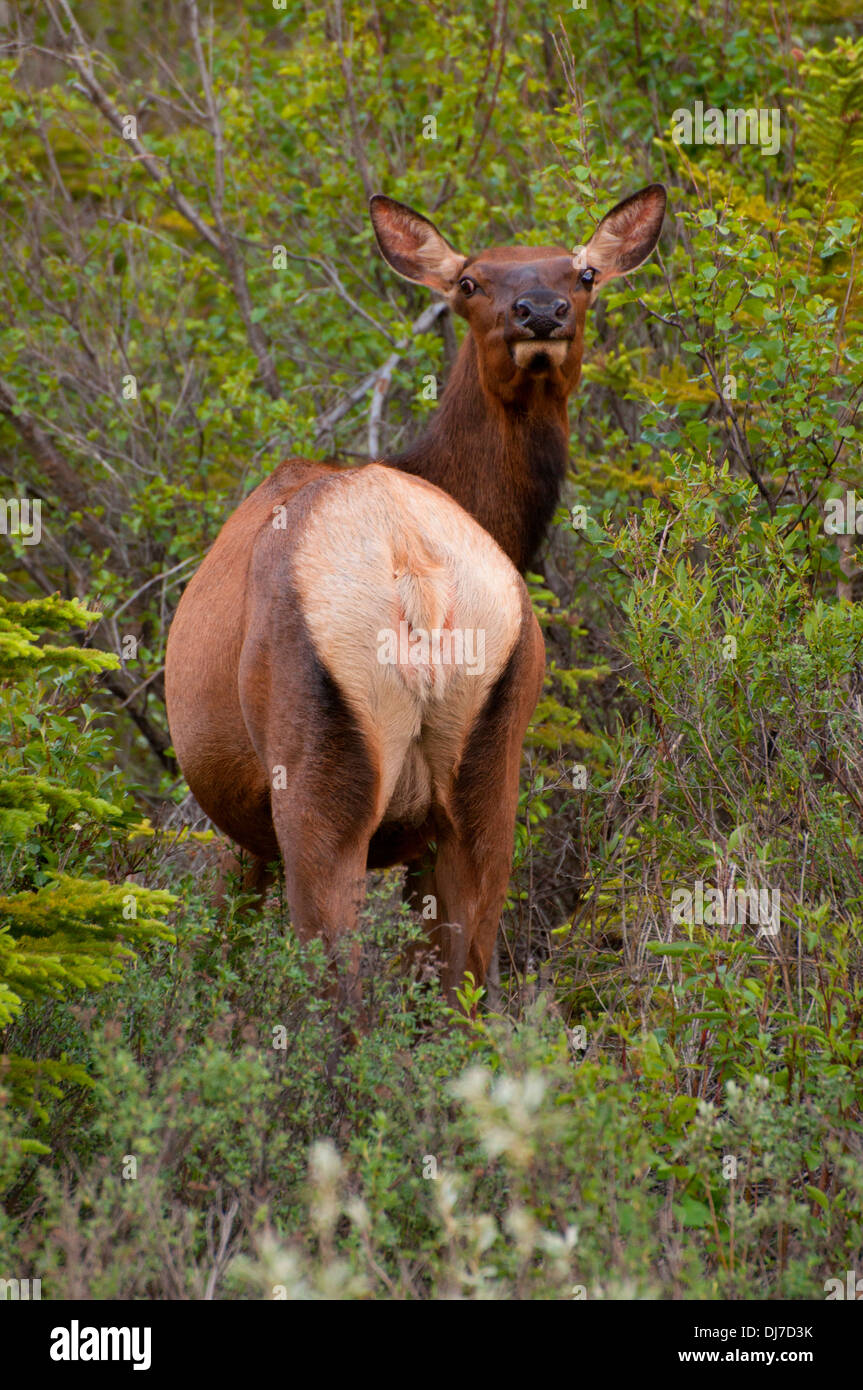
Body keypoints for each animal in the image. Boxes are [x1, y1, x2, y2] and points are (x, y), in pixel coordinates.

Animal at [164, 184, 666, 1007]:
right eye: (469, 281)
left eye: (584, 273)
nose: (539, 310)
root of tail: (415, 569)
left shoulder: (233, 816)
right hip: (487, 785)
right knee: (461, 989)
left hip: (318, 784)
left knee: (340, 997)